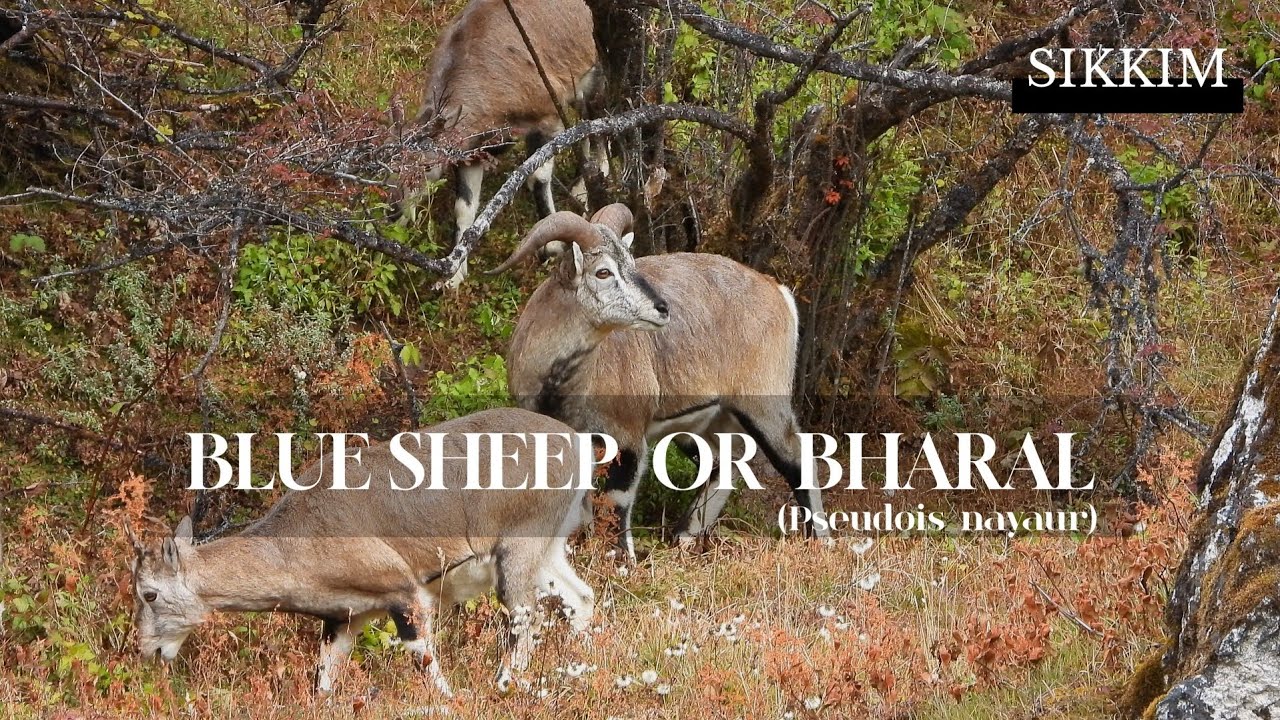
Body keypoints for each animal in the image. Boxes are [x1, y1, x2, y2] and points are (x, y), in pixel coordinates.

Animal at [128, 408, 595, 696]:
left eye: (148, 593)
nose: (147, 651)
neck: (295, 545)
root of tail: (577, 445)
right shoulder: (343, 617)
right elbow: (323, 679)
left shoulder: (404, 592)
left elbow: (424, 662)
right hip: (548, 549)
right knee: (581, 597)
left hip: (519, 545)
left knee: (524, 616)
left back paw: (505, 683)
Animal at [406, 0, 608, 288]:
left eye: (425, 167)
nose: (394, 212)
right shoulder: (474, 151)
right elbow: (464, 207)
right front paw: (453, 277)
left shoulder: (547, 118)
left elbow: (538, 178)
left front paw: (551, 249)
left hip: (594, 75)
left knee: (598, 118)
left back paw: (592, 178)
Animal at [495, 205, 830, 560]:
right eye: (603, 272)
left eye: (630, 262)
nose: (662, 308)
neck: (565, 383)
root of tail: (777, 292)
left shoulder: (625, 436)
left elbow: (616, 498)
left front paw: (620, 560)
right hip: (703, 421)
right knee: (725, 460)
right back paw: (685, 535)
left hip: (762, 402)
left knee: (797, 459)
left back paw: (819, 541)